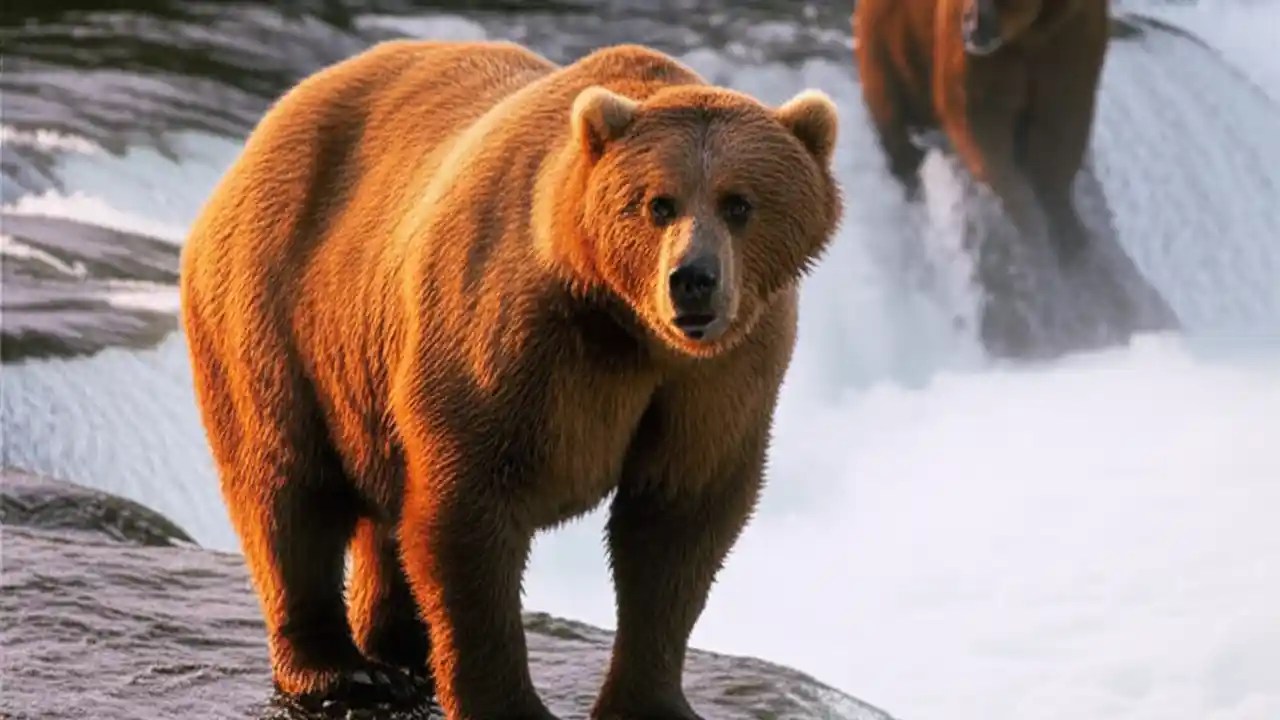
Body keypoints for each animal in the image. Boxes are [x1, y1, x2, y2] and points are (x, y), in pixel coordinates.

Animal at [178, 39, 841, 720]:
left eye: (739, 203)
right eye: (659, 203)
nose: (693, 279)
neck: (625, 324)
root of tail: (264, 130)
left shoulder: (723, 376)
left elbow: (679, 519)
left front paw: (651, 699)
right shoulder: (511, 335)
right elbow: (468, 506)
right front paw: (507, 700)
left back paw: (400, 650)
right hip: (279, 307)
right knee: (286, 485)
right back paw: (341, 669)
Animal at [853, 0, 1110, 262]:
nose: (974, 24)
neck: (1028, 33)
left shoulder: (1071, 41)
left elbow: (1060, 125)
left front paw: (1066, 224)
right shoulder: (979, 55)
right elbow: (980, 122)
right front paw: (1025, 214)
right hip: (892, 38)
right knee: (888, 98)